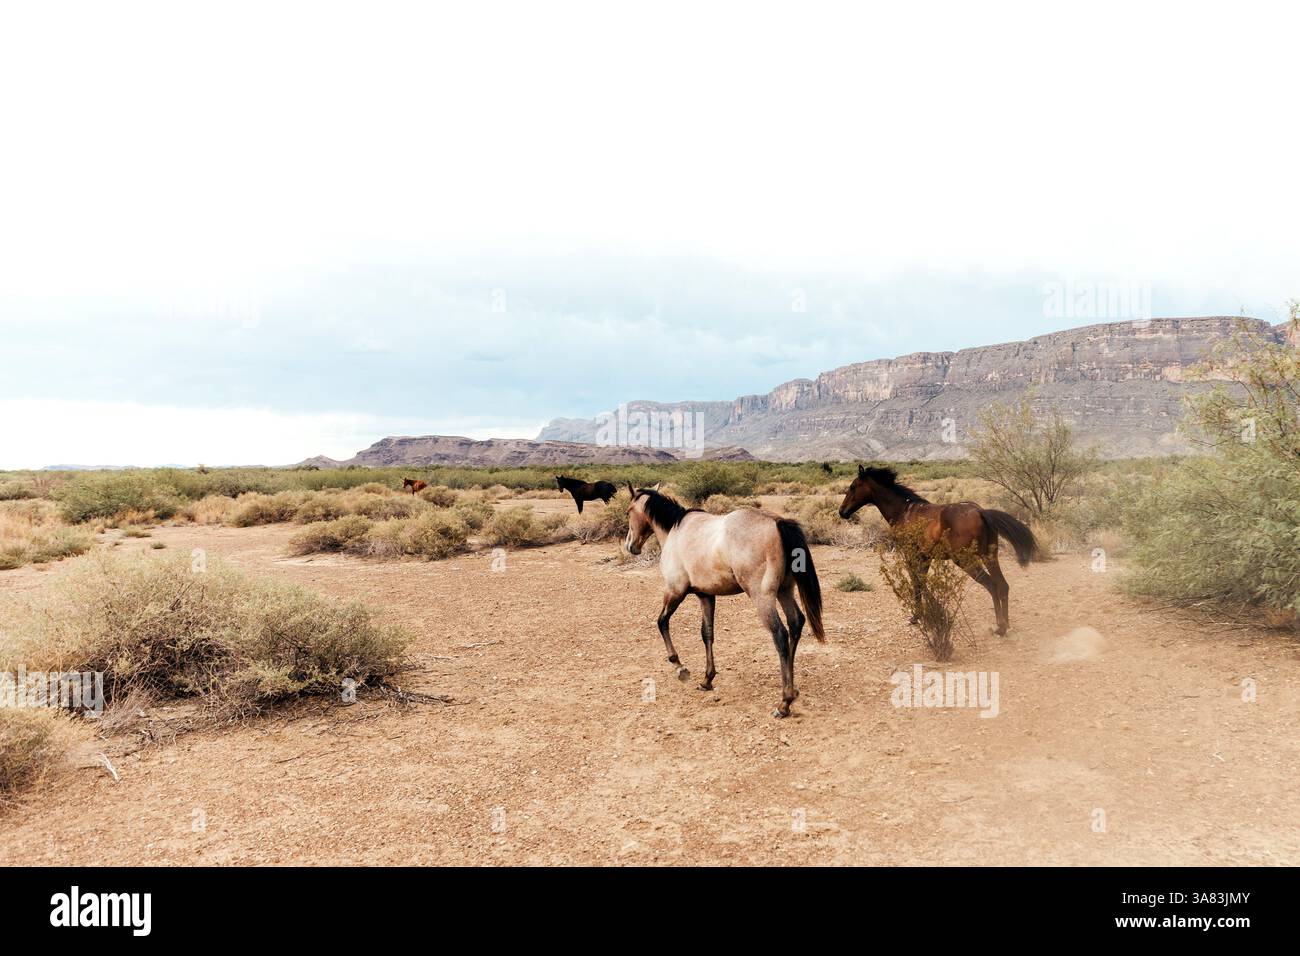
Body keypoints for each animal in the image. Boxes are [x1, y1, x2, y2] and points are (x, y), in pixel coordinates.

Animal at [625, 484, 825, 718]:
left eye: (628, 512)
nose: (630, 546)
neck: (676, 530)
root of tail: (778, 522)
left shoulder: (675, 591)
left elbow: (661, 622)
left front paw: (679, 667)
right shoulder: (706, 596)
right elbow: (707, 634)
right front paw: (707, 679)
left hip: (763, 598)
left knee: (780, 635)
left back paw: (784, 702)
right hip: (784, 591)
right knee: (796, 624)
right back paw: (792, 690)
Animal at [838, 464, 1038, 635]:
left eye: (853, 486)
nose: (842, 511)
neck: (904, 511)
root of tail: (980, 512)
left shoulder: (911, 555)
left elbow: (916, 583)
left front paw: (916, 617)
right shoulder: (925, 557)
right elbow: (921, 582)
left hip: (966, 561)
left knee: (992, 586)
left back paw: (1000, 627)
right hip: (989, 556)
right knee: (1003, 585)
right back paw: (1006, 624)